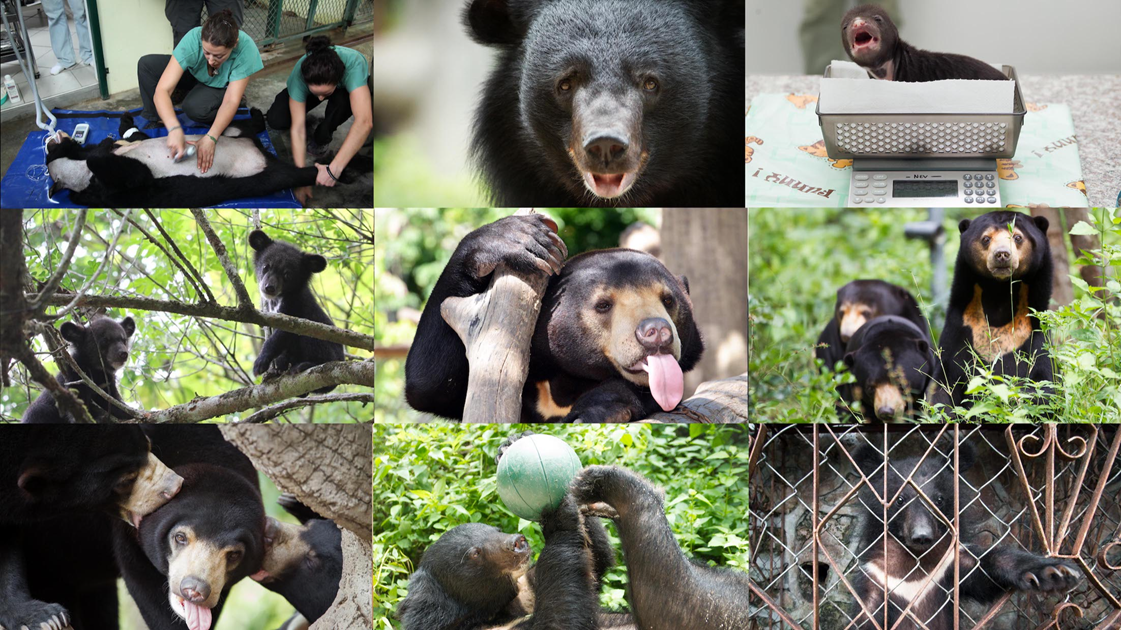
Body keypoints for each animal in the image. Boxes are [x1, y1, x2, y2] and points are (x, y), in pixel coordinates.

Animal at [248, 229, 346, 394]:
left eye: (287, 274)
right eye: (266, 266)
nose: (269, 288)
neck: (277, 300)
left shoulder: (296, 305)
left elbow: (283, 334)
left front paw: (260, 364)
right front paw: (276, 367)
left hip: (325, 347)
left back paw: (304, 365)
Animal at [404, 213, 704, 422]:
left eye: (668, 300)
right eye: (603, 305)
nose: (656, 331)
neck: (565, 381)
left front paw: (596, 410)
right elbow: (430, 382)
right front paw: (519, 237)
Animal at [849, 441, 1080, 630]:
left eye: (939, 499)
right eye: (899, 500)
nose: (922, 536)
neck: (915, 560)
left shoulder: (950, 565)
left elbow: (987, 568)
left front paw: (1055, 573)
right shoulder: (875, 577)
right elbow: (865, 616)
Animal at [938, 211, 1054, 407]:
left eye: (1017, 237)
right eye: (986, 238)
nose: (1002, 254)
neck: (999, 294)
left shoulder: (1034, 335)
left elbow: (1044, 385)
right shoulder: (959, 329)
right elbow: (944, 384)